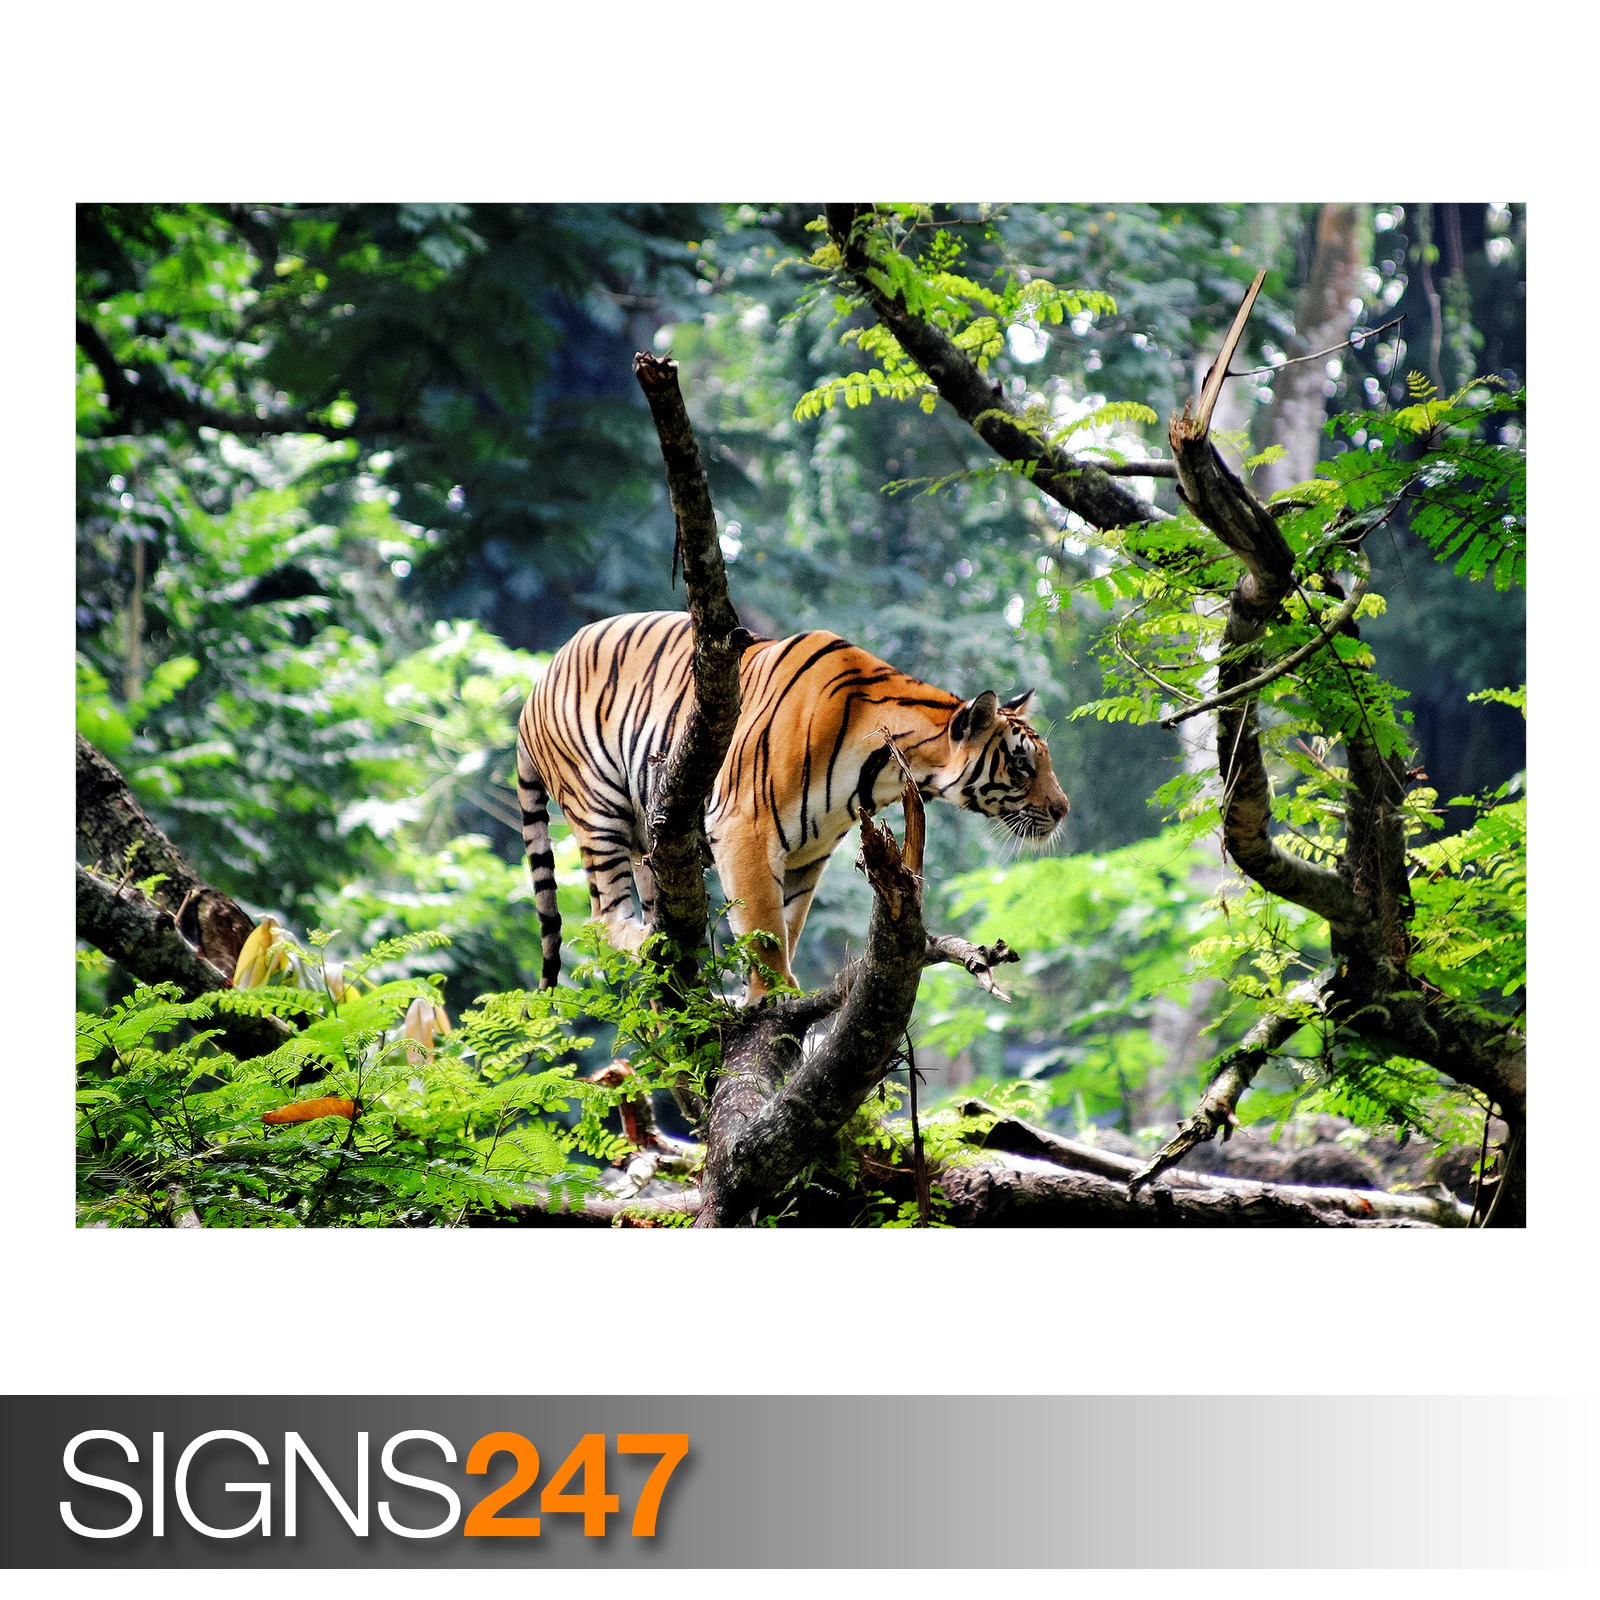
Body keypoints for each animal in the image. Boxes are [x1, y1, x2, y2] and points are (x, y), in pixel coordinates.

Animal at [516, 610, 1069, 996]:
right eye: (1023, 765)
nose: (1063, 810)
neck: (886, 770)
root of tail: (535, 685)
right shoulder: (745, 827)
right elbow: (763, 926)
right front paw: (772, 996)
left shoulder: (809, 852)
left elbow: (788, 923)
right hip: (598, 808)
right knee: (602, 918)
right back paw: (652, 944)